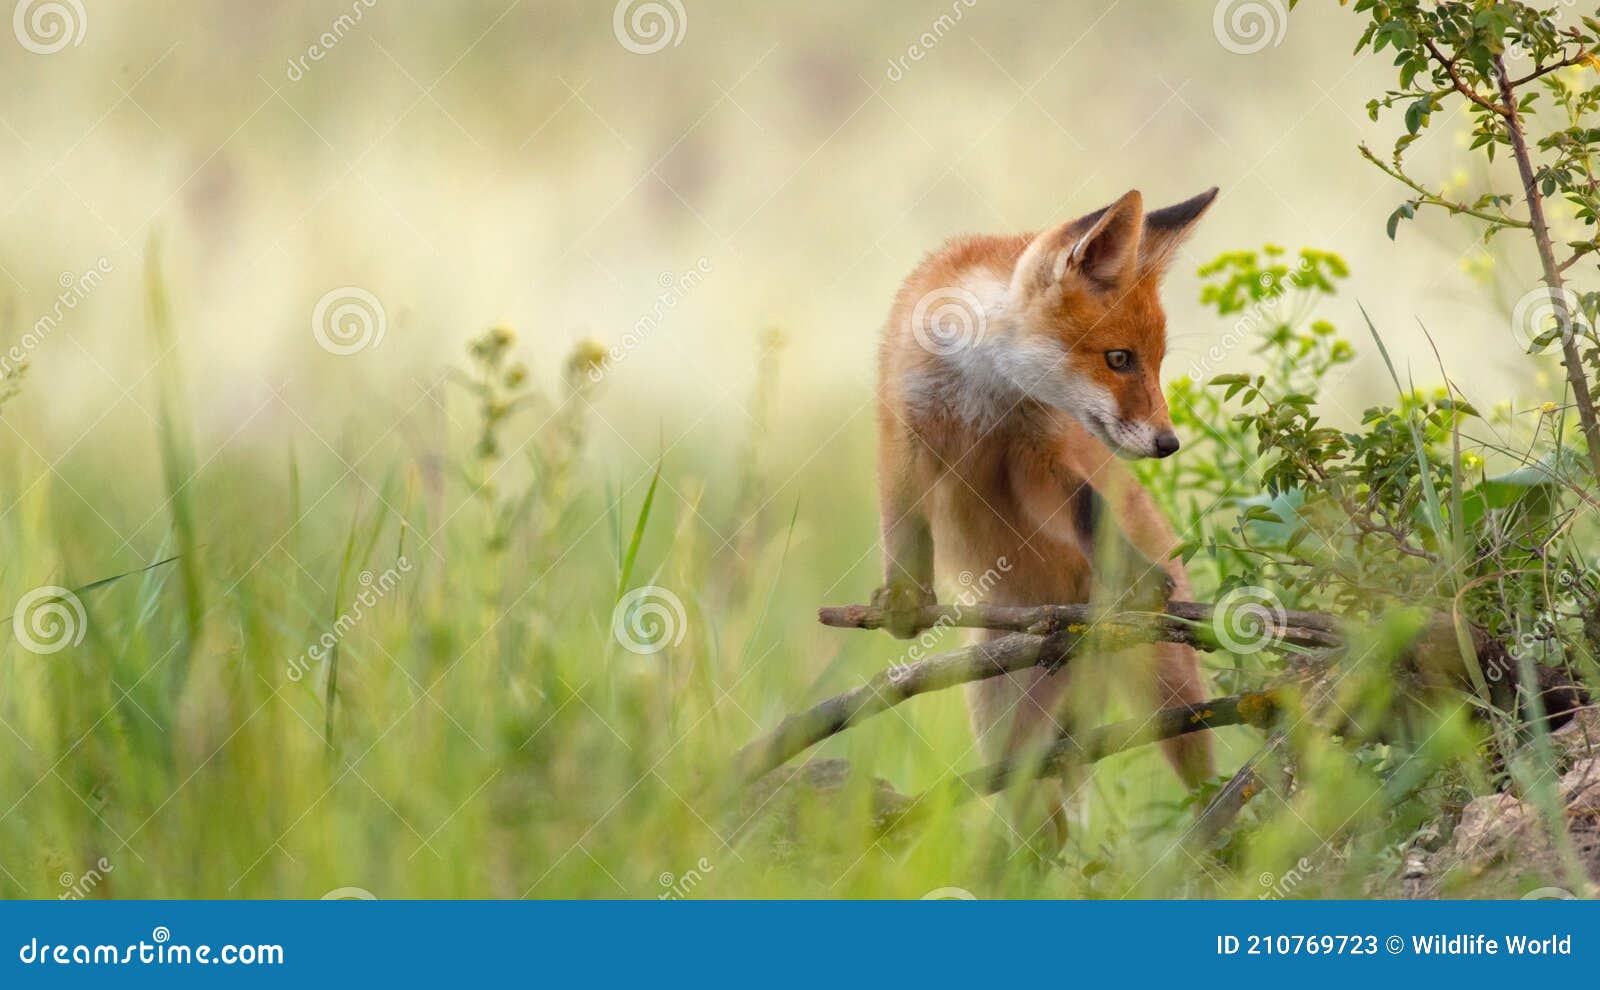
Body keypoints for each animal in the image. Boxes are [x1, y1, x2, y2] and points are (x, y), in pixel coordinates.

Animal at [872, 187, 1219, 846]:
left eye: (1156, 362)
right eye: (1118, 358)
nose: (1168, 444)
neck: (979, 387)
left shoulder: (1034, 455)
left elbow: (1090, 509)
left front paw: (1137, 575)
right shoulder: (904, 433)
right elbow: (902, 523)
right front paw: (903, 598)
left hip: (1172, 699)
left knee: (1206, 776)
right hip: (1006, 739)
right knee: (1043, 828)